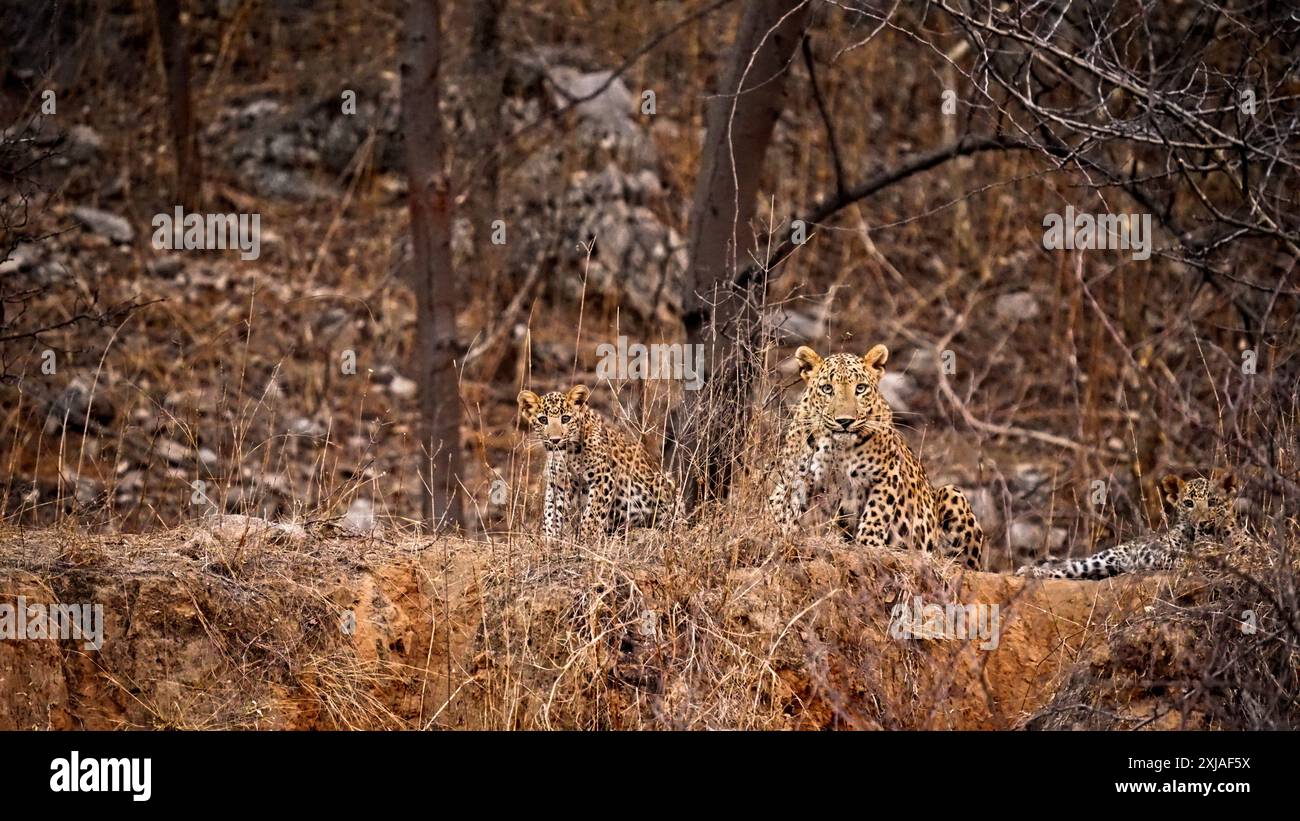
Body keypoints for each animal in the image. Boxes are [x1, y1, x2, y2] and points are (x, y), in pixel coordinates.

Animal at [518, 385, 680, 540]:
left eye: (565, 418)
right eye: (543, 420)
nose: (555, 440)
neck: (567, 453)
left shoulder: (603, 478)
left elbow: (592, 515)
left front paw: (584, 541)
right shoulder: (558, 482)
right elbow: (551, 511)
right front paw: (550, 539)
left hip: (664, 484)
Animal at [767, 344, 984, 568]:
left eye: (860, 388)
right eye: (827, 389)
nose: (845, 421)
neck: (837, 449)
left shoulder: (887, 475)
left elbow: (877, 512)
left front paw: (868, 545)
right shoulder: (795, 478)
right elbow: (779, 507)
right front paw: (780, 531)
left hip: (952, 494)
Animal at [1015, 469, 1239, 580]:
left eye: (1213, 502)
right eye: (1189, 503)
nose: (1203, 522)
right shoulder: (1159, 550)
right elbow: (1178, 555)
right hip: (1106, 558)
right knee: (1068, 566)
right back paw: (1028, 571)